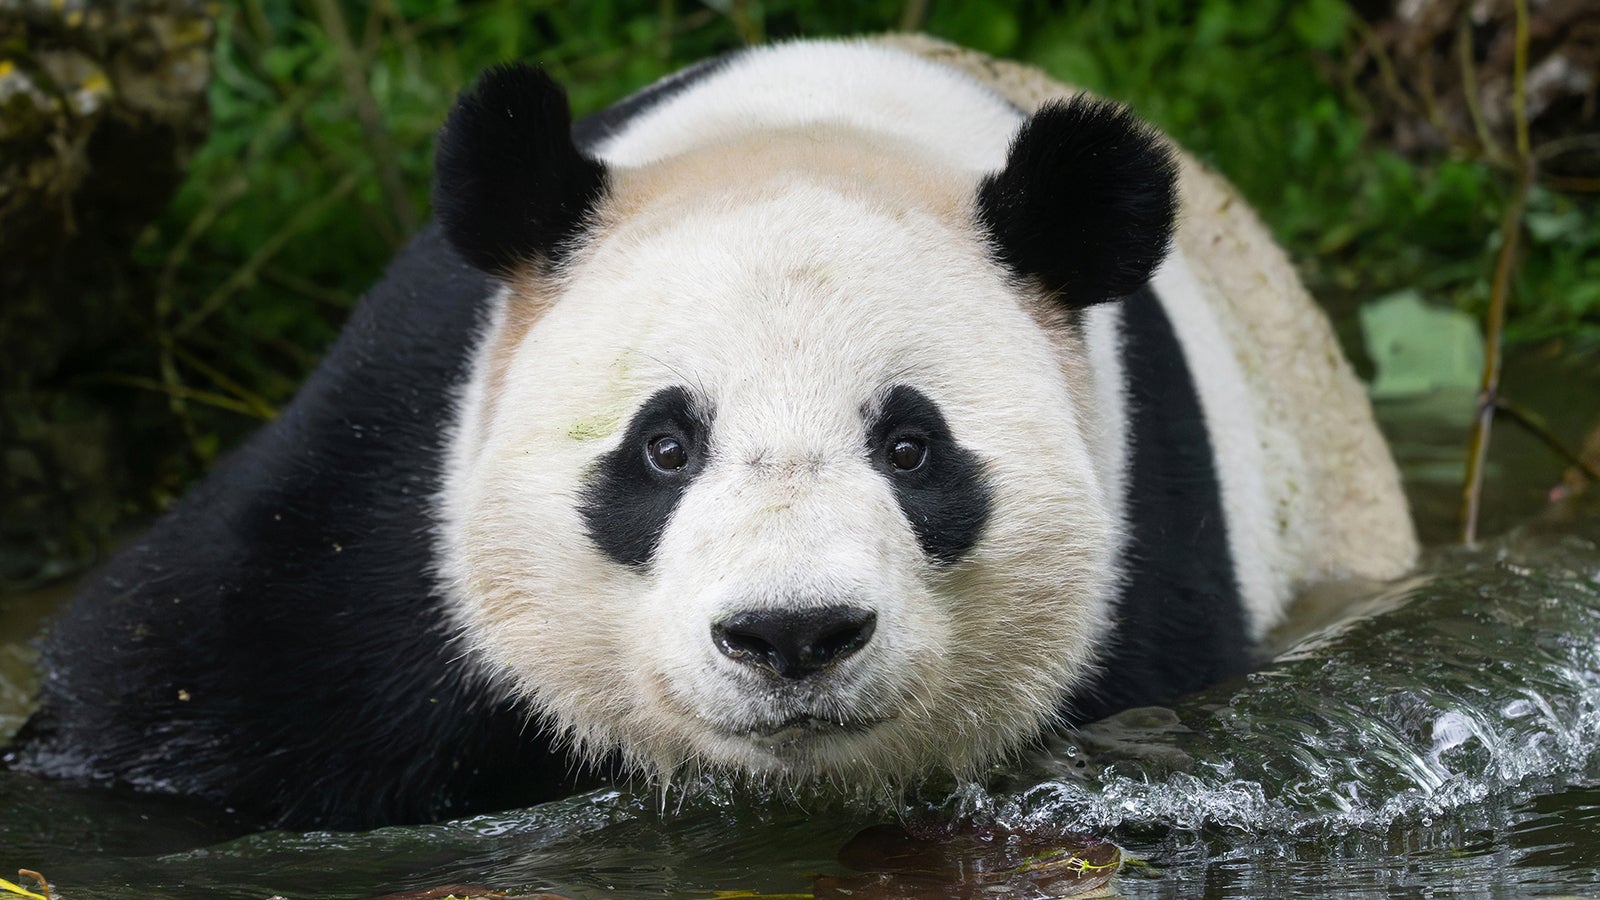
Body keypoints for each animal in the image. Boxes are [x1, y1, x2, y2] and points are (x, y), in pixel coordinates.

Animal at [3, 37, 1417, 831]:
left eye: (911, 449)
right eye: (663, 447)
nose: (793, 635)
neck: (821, 135)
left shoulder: (1147, 583)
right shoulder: (382, 498)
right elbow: (191, 700)